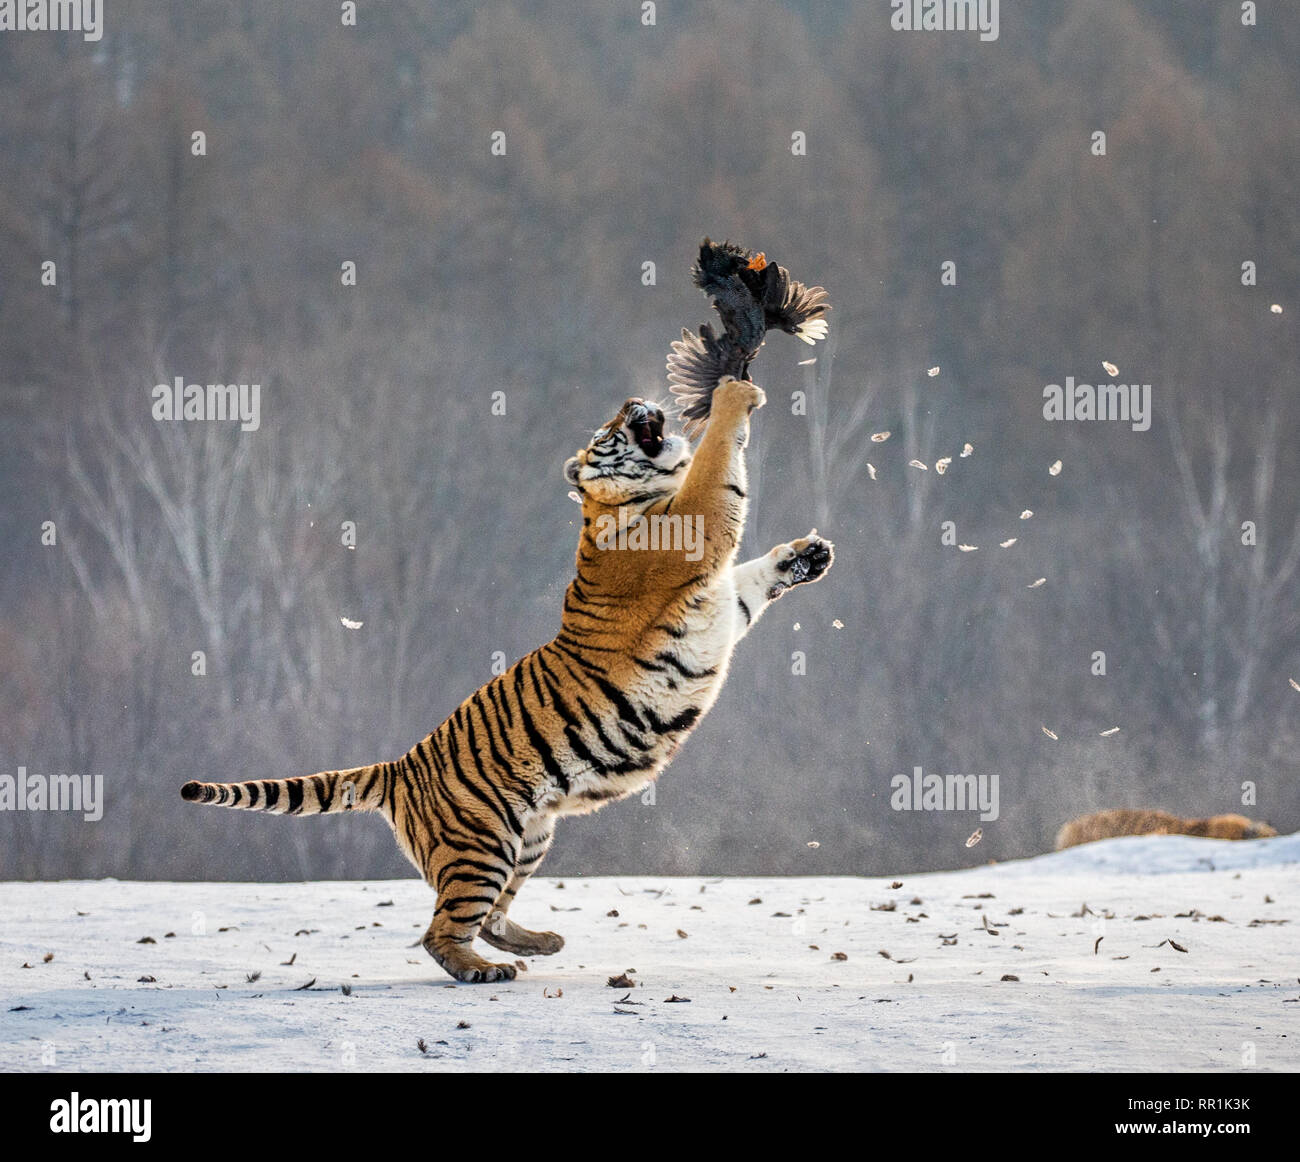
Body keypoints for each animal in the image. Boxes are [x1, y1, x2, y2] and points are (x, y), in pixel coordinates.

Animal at [181, 377, 834, 982]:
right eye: (607, 430)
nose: (631, 402)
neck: (635, 501)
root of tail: (400, 768)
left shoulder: (723, 603)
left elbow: (754, 578)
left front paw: (807, 555)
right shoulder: (697, 530)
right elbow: (719, 460)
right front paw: (734, 395)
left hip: (530, 840)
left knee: (490, 917)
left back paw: (543, 942)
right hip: (483, 847)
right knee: (442, 931)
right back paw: (484, 970)